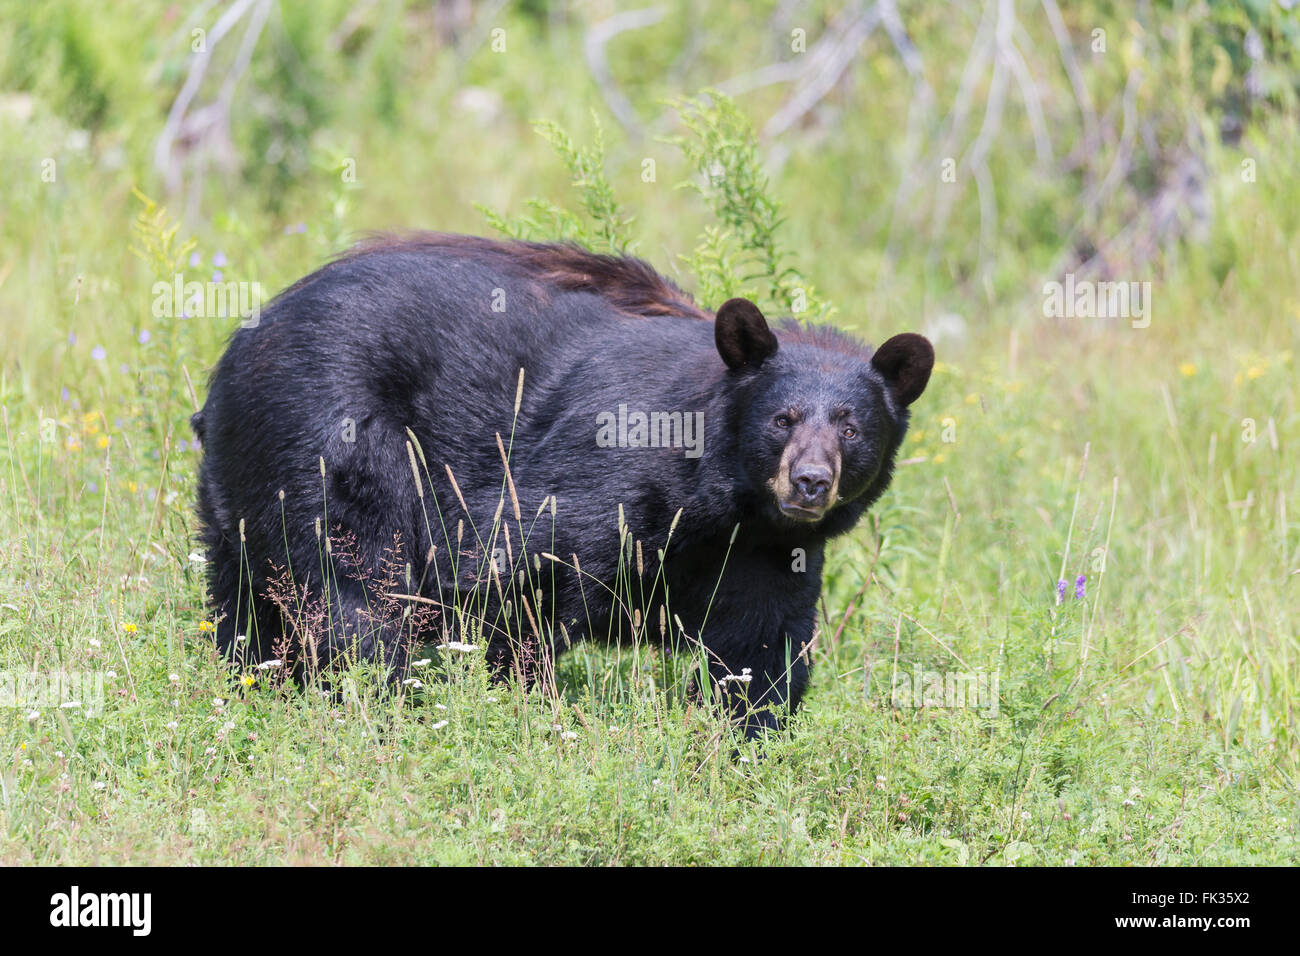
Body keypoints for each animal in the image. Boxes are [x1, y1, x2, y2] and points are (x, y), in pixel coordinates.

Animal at [191, 233, 933, 737]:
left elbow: (761, 646)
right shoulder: (592, 481)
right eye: (783, 419)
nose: (809, 483)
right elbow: (517, 576)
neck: (718, 500)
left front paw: (747, 738)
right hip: (326, 435)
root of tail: (237, 349)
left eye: (852, 429)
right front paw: (522, 707)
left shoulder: (764, 553)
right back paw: (380, 701)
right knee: (354, 591)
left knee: (248, 606)